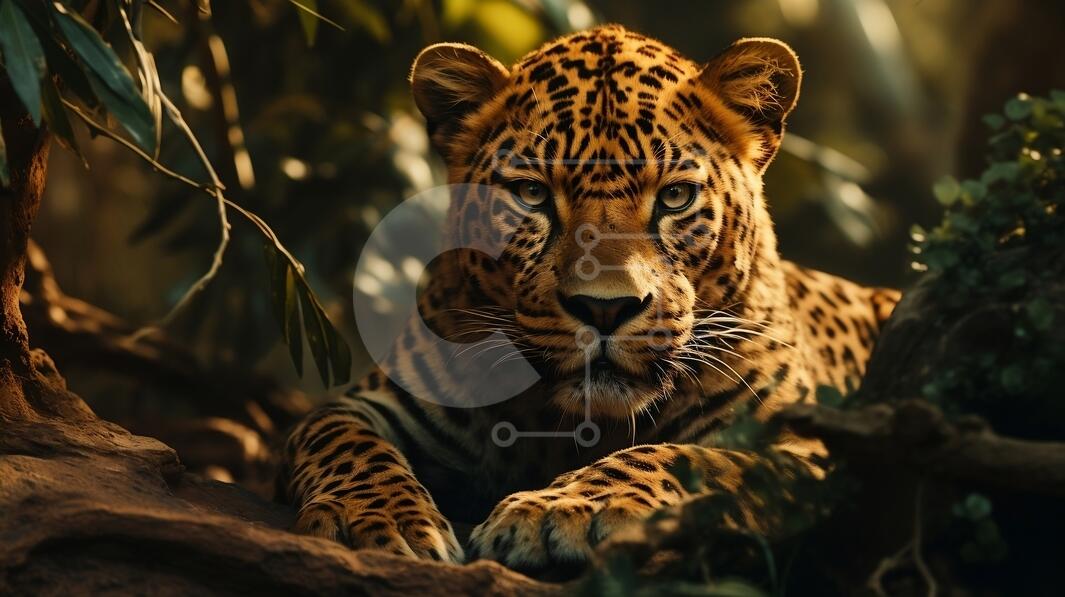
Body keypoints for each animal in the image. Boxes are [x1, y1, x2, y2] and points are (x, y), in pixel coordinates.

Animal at [280, 24, 900, 573]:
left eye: (675, 196)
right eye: (532, 193)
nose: (606, 307)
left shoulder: (808, 450)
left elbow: (686, 455)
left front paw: (564, 509)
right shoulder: (366, 402)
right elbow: (345, 442)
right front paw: (380, 520)